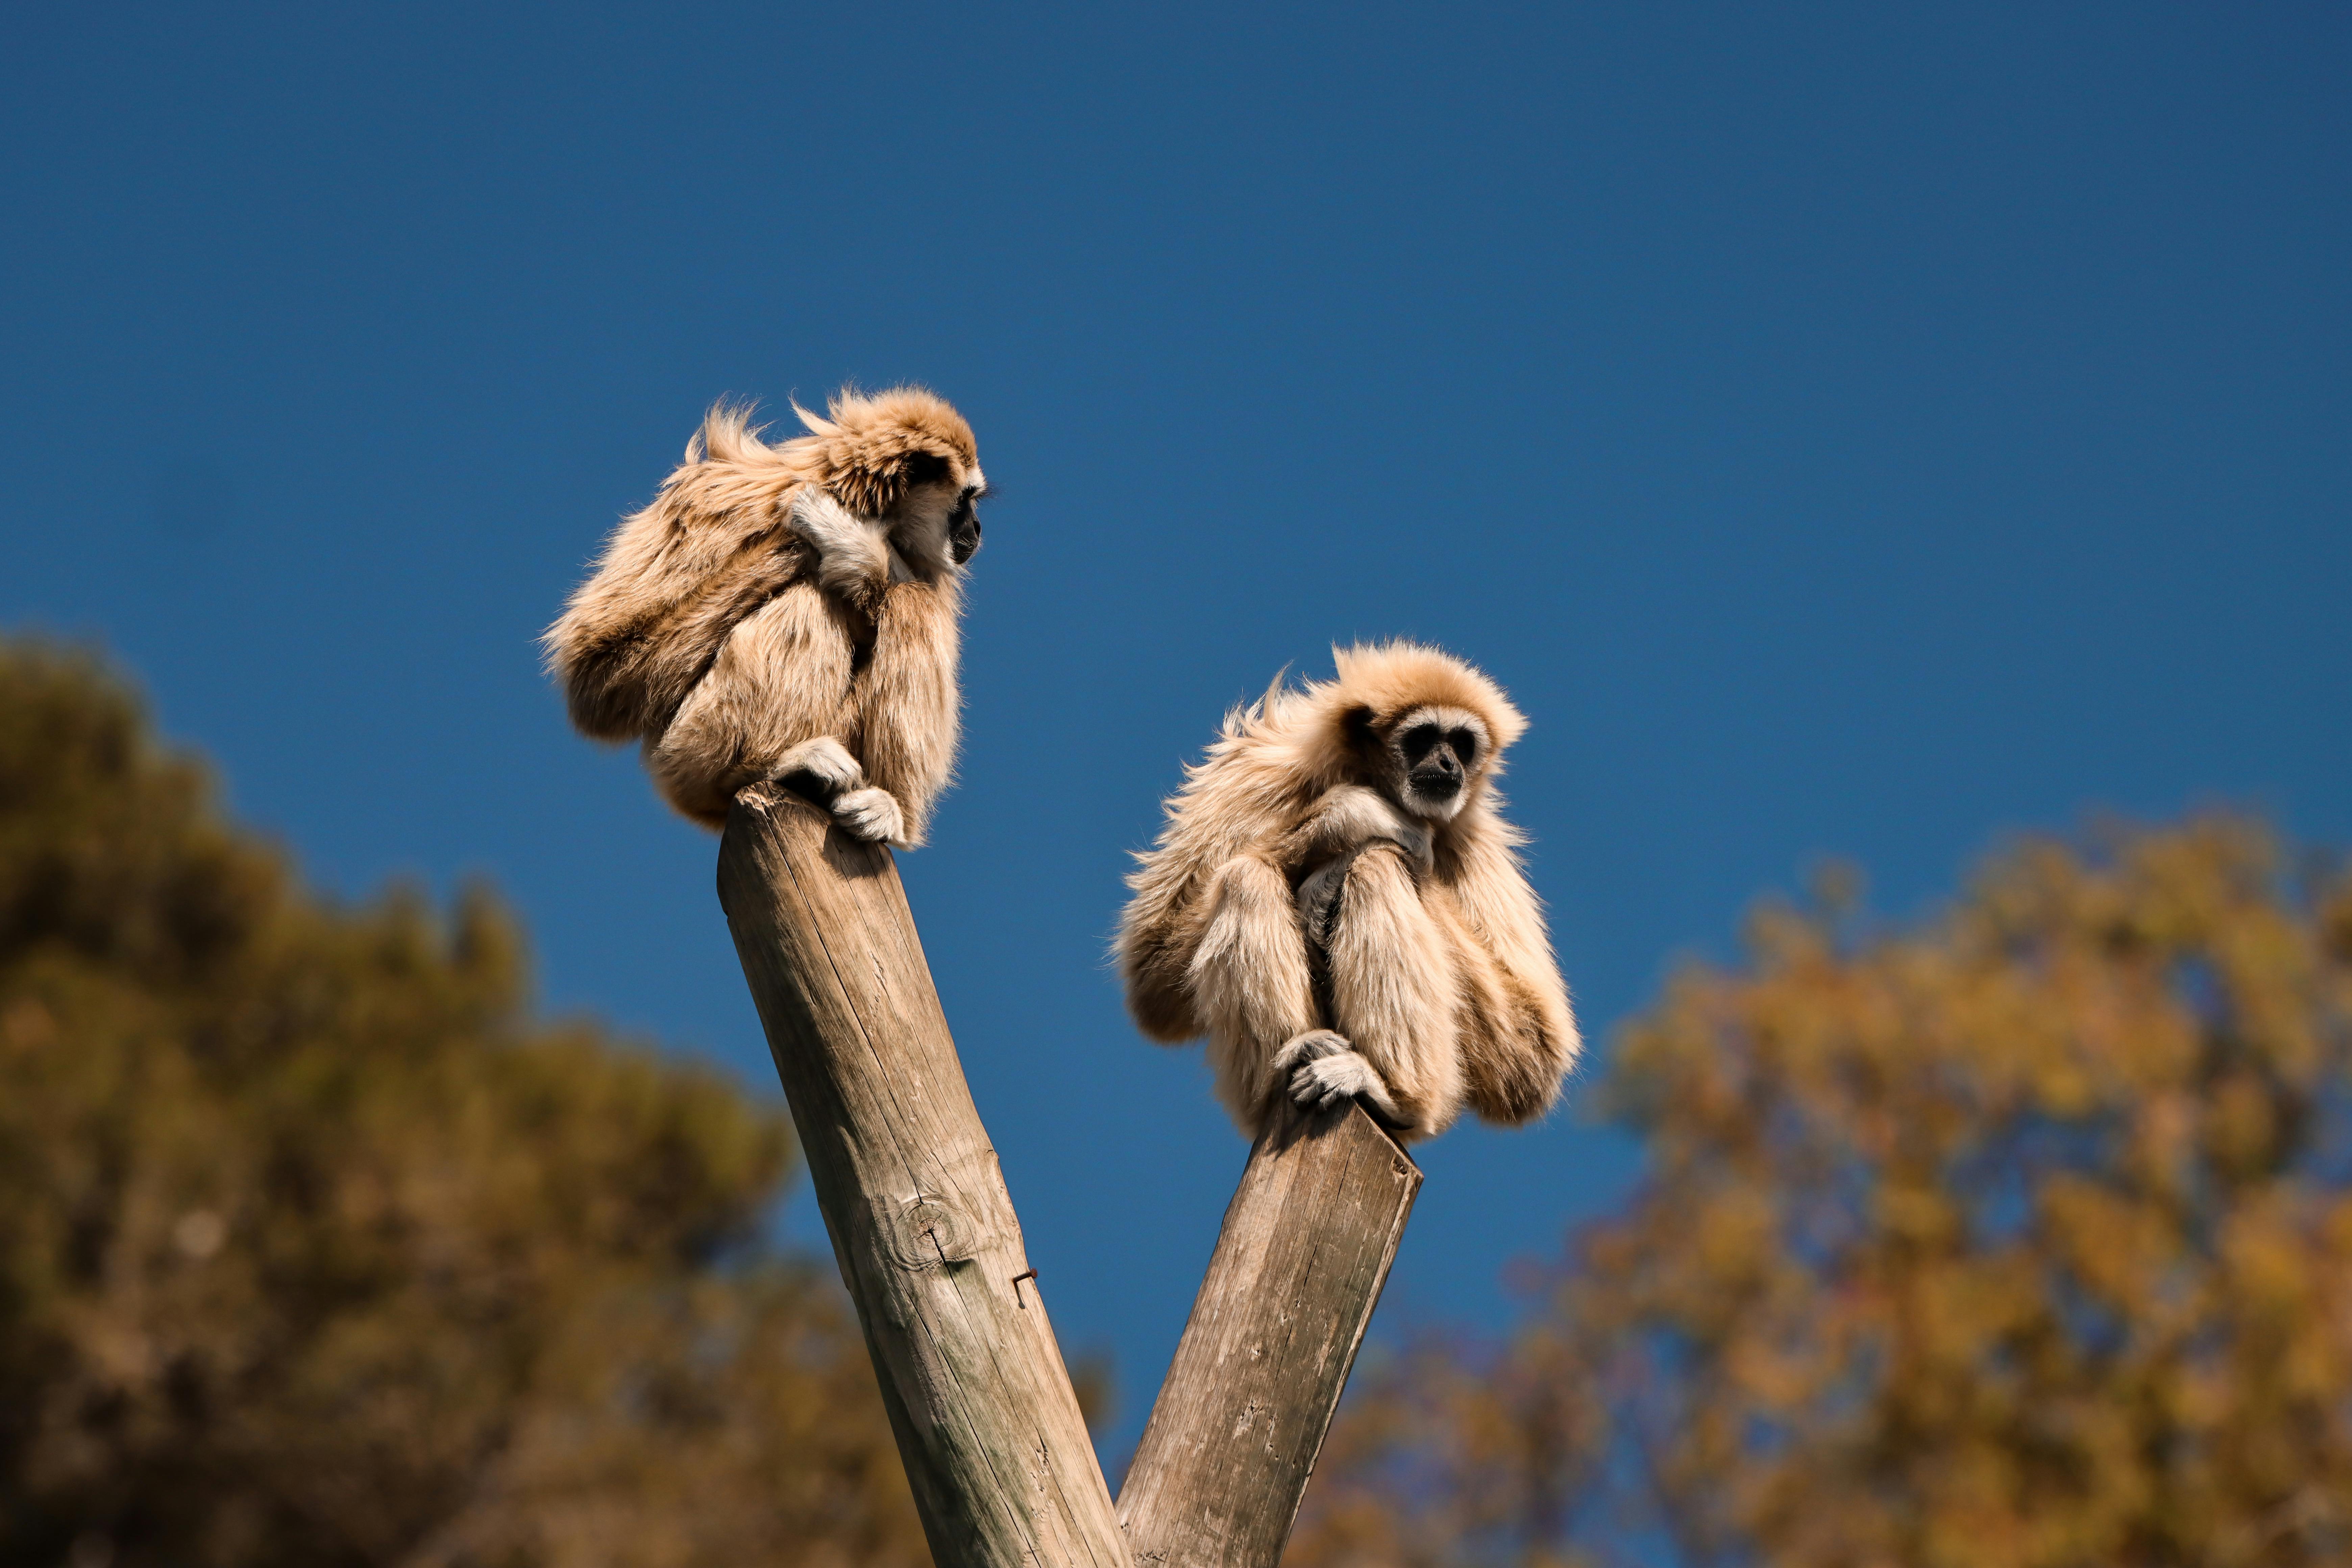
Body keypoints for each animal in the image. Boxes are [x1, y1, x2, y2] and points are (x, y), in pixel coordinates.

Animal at [543, 387, 985, 846]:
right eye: (966, 501)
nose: (977, 528)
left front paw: (855, 547)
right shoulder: (724, 493)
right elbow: (599, 675)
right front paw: (845, 543)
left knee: (914, 603)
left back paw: (890, 809)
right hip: (687, 750)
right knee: (816, 599)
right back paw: (767, 766)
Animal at [1116, 642, 1578, 1141]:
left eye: (1462, 743)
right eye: (1423, 739)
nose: (1448, 763)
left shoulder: (1470, 832)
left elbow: (1530, 1059)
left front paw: (1331, 872)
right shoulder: (1260, 771)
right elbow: (1155, 974)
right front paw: (1354, 814)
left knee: (1378, 863)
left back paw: (1397, 1097)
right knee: (1246, 878)